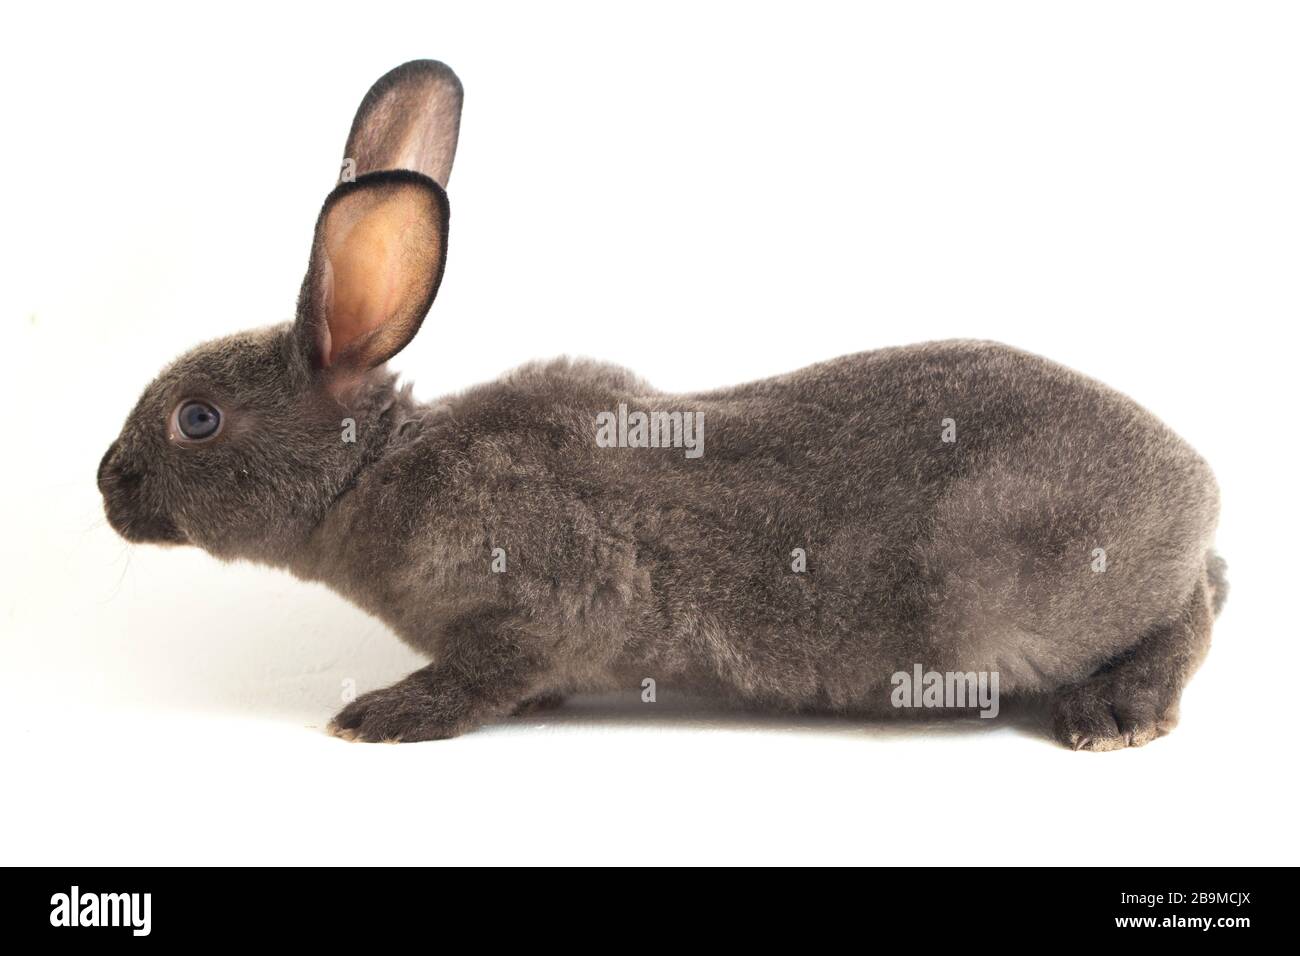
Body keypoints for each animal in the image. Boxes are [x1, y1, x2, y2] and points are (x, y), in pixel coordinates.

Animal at [98, 59, 1225, 749]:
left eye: (196, 418)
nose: (106, 485)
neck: (372, 470)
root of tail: (1199, 488)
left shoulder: (536, 606)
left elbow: (484, 675)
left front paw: (382, 714)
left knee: (1195, 608)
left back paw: (1114, 711)